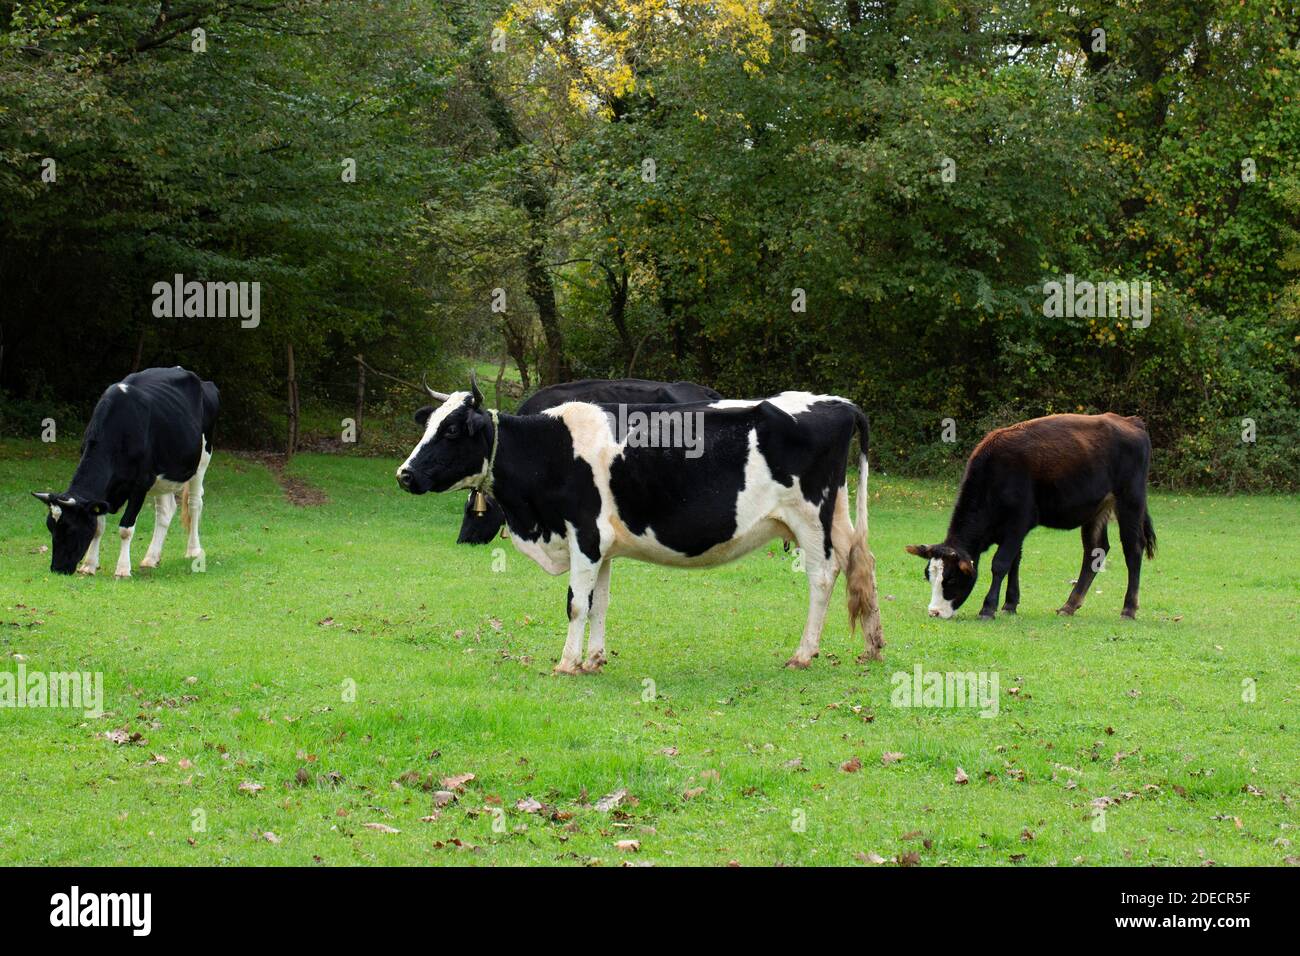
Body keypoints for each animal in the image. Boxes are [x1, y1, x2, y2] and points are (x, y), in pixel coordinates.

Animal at [31, 366, 219, 578]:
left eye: (70, 529)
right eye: (50, 527)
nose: (57, 568)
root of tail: (202, 381)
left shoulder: (140, 484)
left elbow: (125, 528)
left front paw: (122, 569)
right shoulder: (104, 494)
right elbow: (98, 526)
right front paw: (89, 565)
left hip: (202, 461)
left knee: (194, 504)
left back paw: (193, 550)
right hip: (163, 477)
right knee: (165, 511)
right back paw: (151, 558)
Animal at [905, 413, 1156, 620]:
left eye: (951, 579)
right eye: (929, 576)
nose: (934, 612)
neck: (994, 476)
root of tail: (1130, 421)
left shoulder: (1018, 523)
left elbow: (1001, 563)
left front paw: (988, 608)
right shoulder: (1011, 530)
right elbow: (1015, 561)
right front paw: (1010, 604)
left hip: (1130, 501)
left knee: (1133, 550)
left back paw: (1128, 608)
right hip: (1096, 509)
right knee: (1095, 551)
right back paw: (1069, 605)